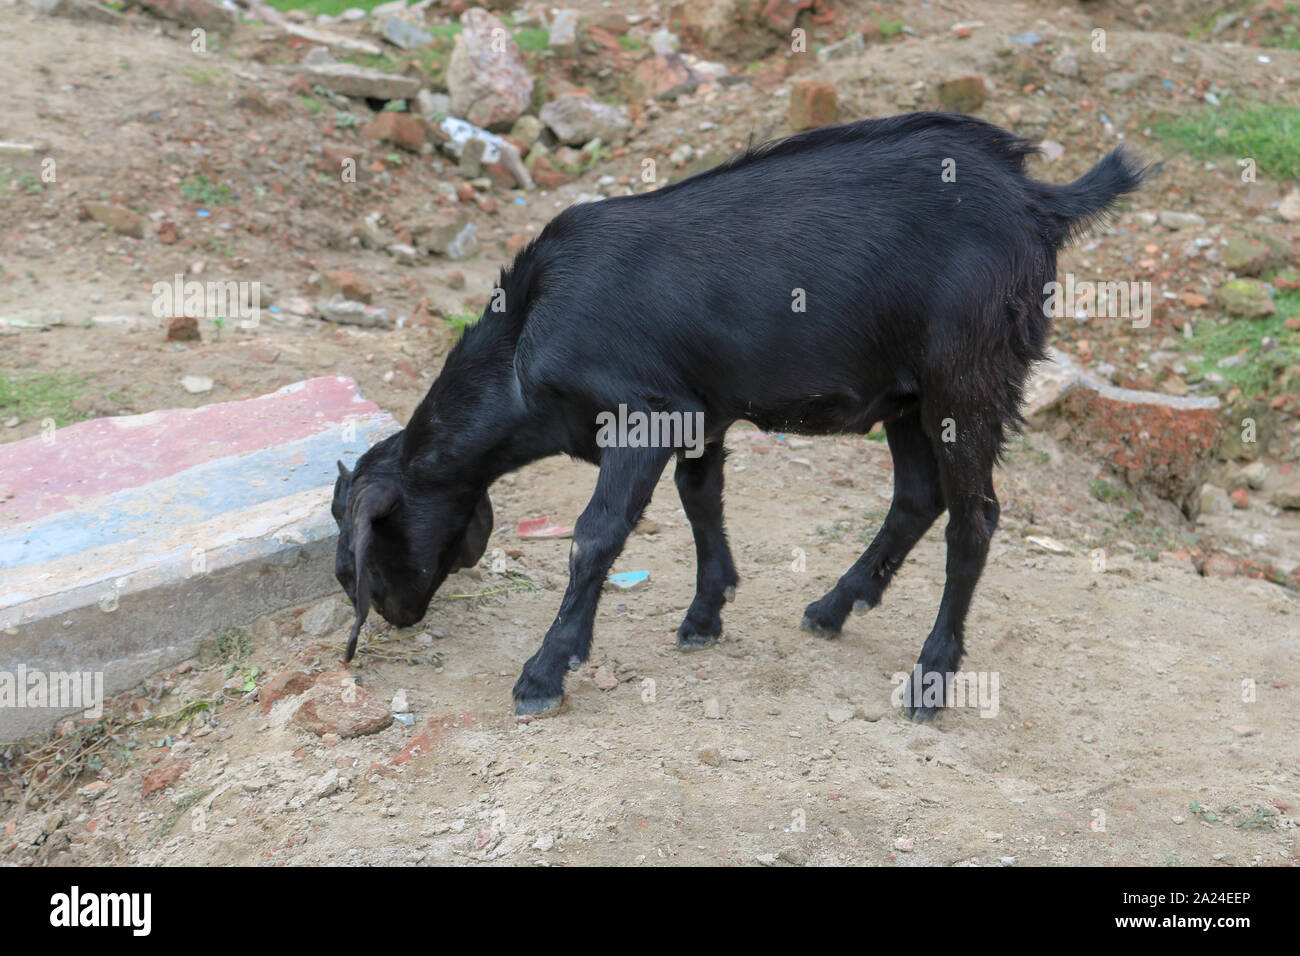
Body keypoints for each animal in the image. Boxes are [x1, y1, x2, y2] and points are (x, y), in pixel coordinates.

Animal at [331, 111, 1144, 721]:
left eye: (358, 550)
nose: (392, 613)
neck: (526, 335)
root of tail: (1041, 202)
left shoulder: (645, 413)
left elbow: (596, 535)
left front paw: (544, 671)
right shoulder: (702, 413)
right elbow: (701, 500)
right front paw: (705, 613)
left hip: (967, 378)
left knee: (974, 516)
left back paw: (933, 674)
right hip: (910, 394)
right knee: (918, 497)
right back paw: (836, 605)